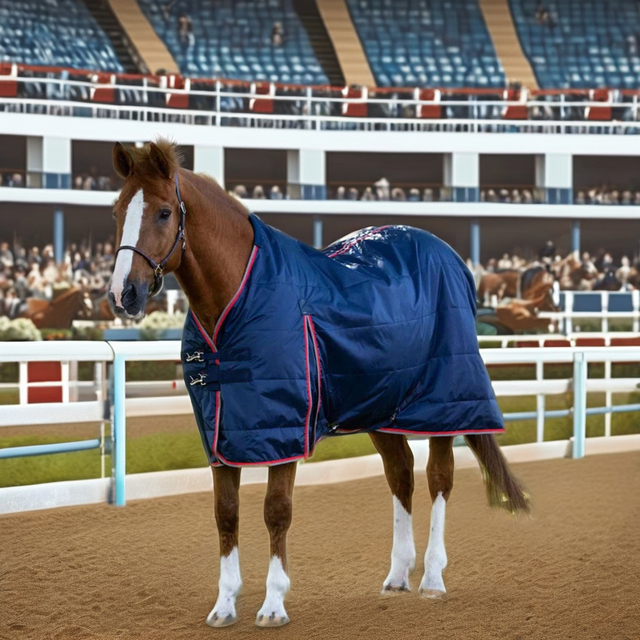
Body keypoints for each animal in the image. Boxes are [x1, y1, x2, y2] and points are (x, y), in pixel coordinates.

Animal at [107, 140, 530, 628]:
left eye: (162, 212)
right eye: (117, 210)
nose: (122, 294)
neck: (237, 300)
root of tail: (452, 259)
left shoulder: (285, 427)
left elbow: (276, 511)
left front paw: (273, 605)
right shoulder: (222, 432)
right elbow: (226, 514)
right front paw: (224, 604)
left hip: (443, 403)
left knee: (438, 477)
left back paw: (432, 578)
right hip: (381, 407)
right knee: (400, 474)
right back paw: (397, 575)